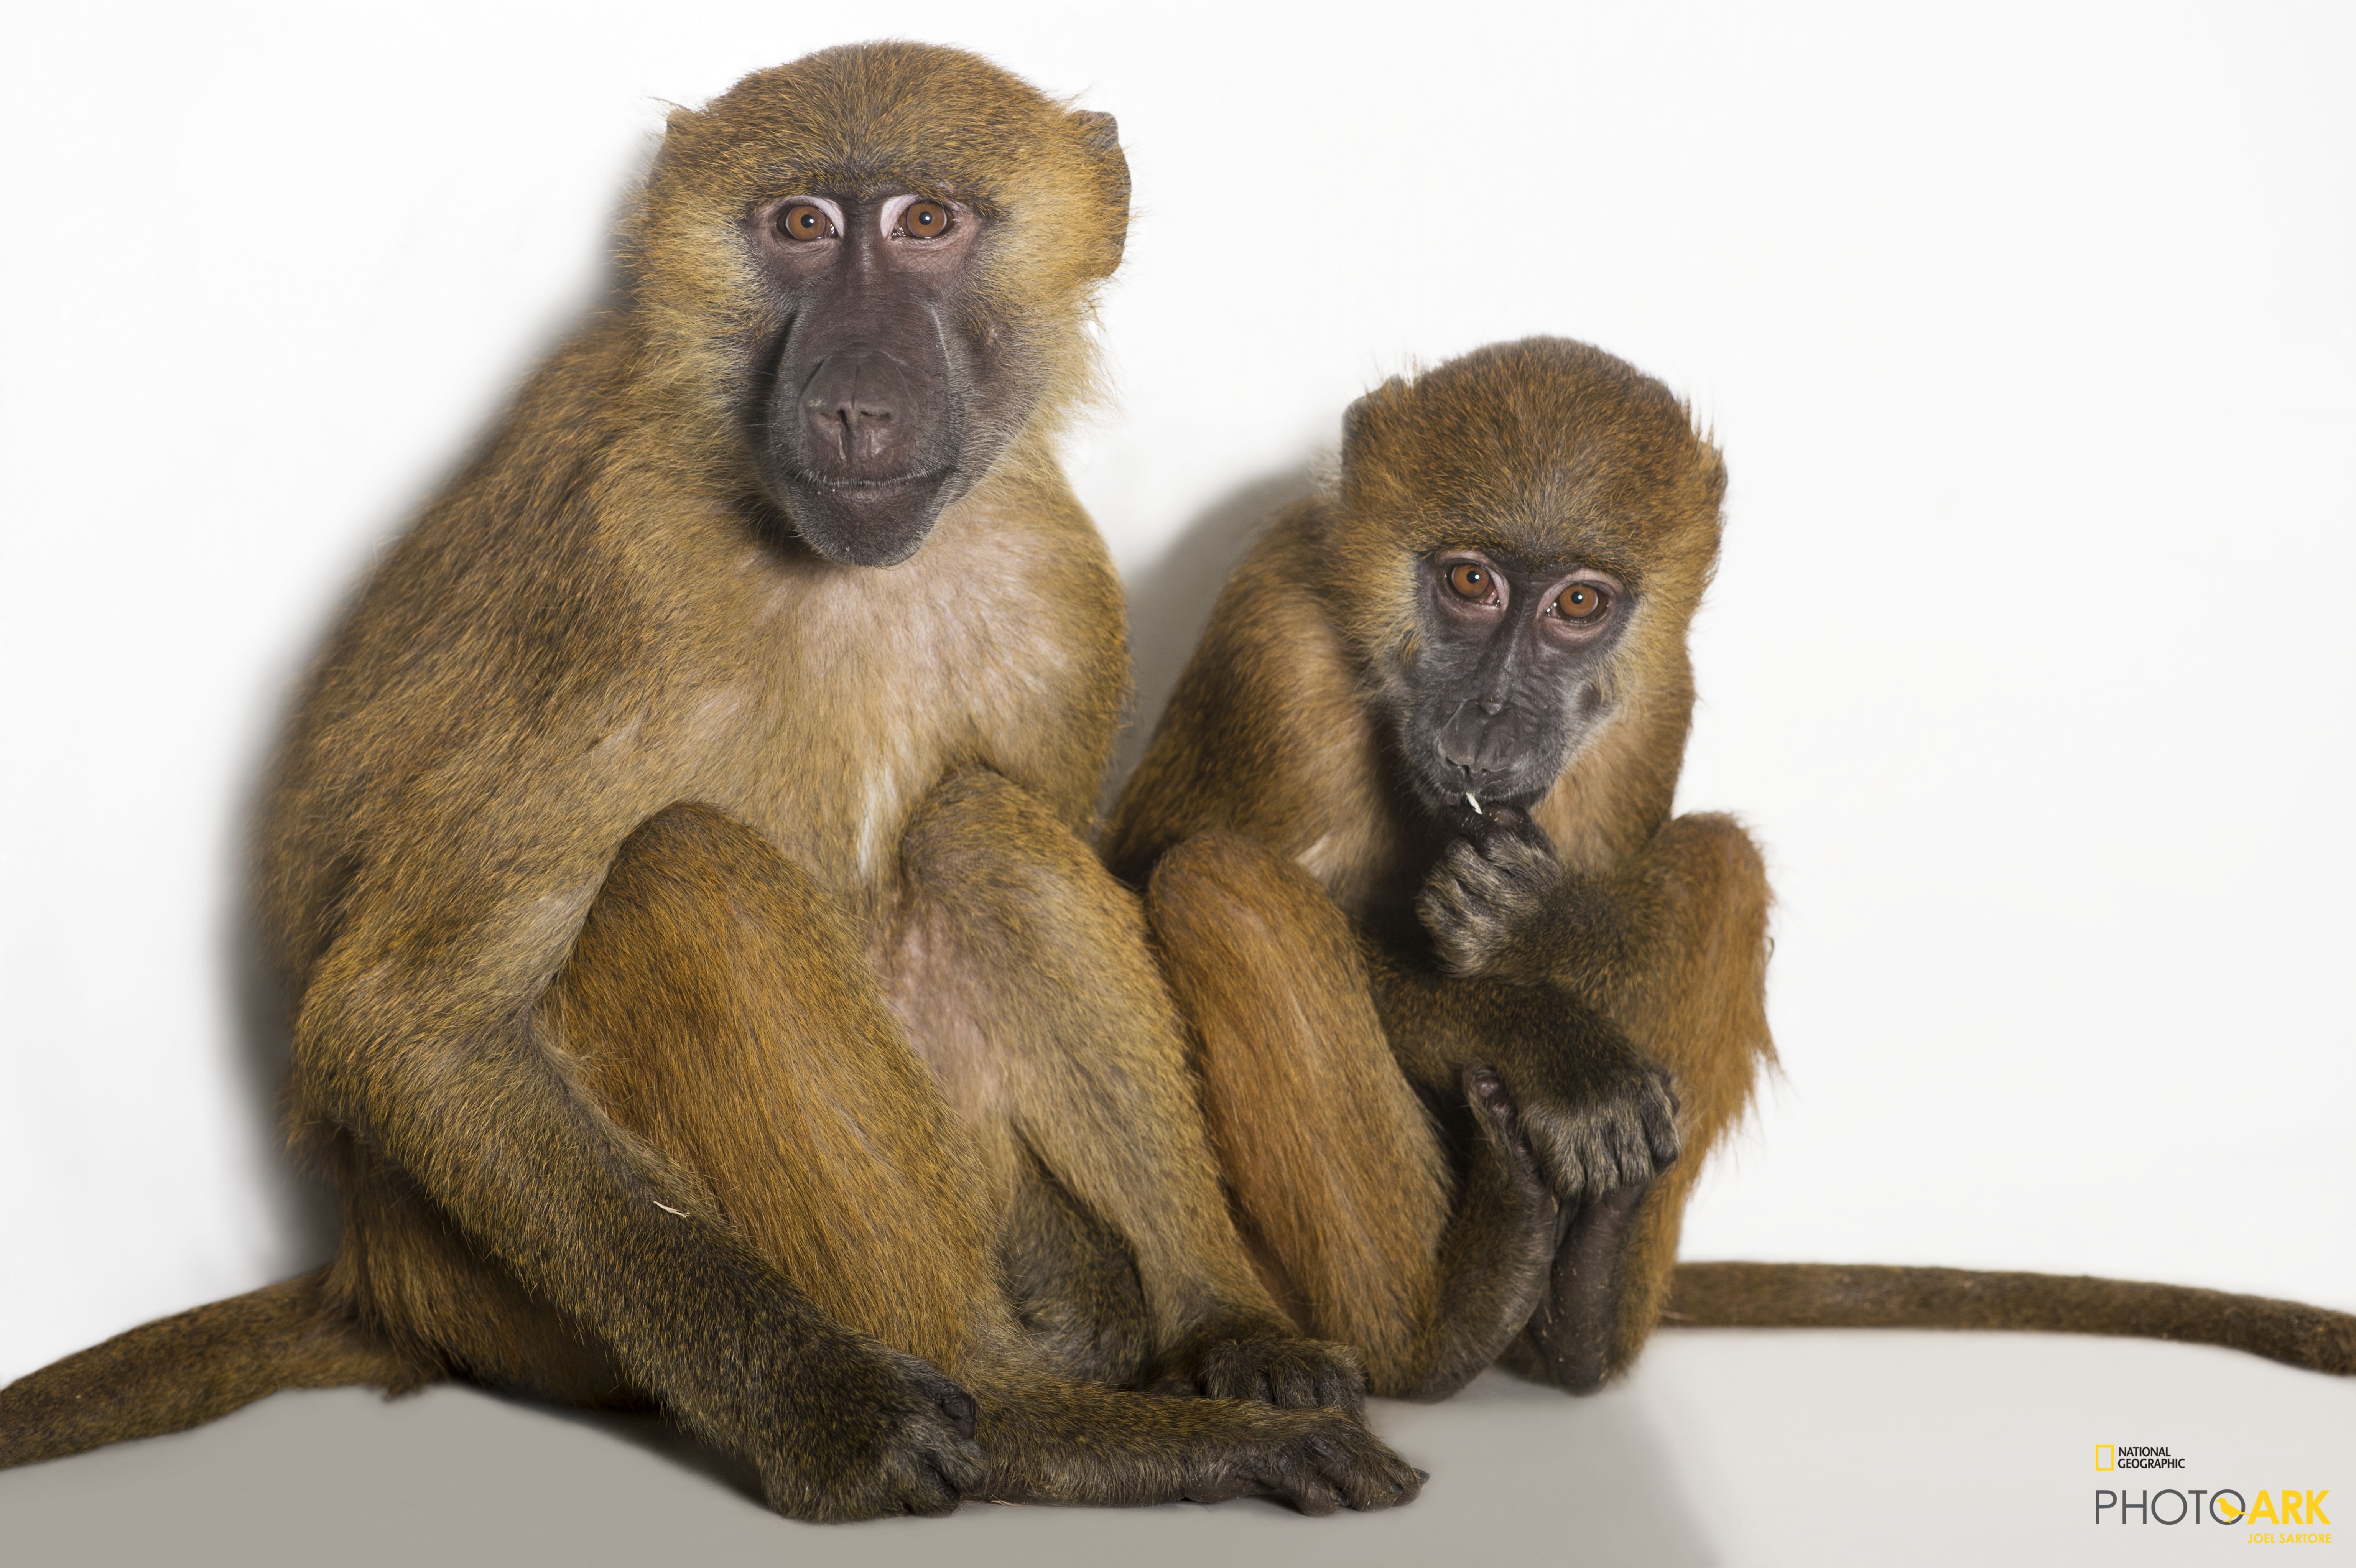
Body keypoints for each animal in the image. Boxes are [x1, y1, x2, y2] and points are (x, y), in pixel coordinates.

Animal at [0, 44, 1428, 1521]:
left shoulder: (1056, 582)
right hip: (519, 1303)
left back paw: (1214, 1328)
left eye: (926, 223)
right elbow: (405, 1024)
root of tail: (374, 1277)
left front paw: (1174, 1318)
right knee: (686, 869)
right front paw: (836, 1417)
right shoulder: (626, 582)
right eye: (799, 225)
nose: (854, 400)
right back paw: (1039, 1418)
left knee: (981, 829)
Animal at [1108, 335, 2356, 1398]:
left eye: (1576, 604)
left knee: (1719, 865)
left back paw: (1578, 1315)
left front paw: (1549, 931)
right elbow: (1144, 874)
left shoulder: (1653, 693)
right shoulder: (1276, 643)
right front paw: (1544, 1042)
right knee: (1221, 887)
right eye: (1468, 583)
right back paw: (1437, 1331)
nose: (1491, 722)